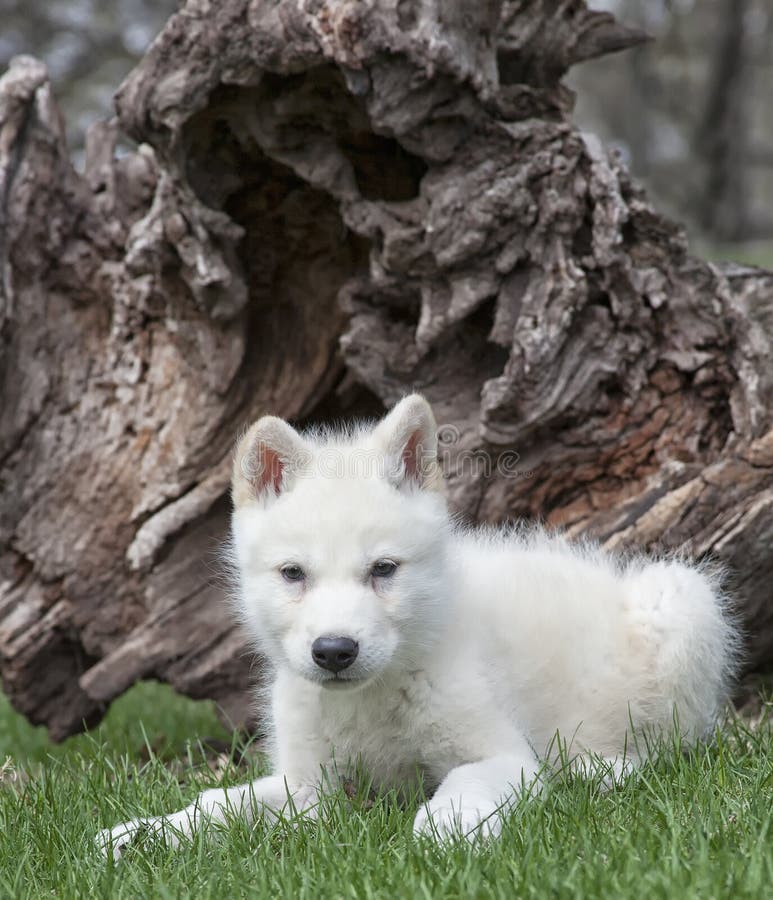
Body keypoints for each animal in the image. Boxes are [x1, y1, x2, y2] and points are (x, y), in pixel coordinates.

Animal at [99, 394, 739, 858]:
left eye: (384, 569)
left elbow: (462, 788)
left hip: (680, 599)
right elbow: (220, 802)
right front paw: (141, 834)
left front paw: (444, 833)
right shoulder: (306, 785)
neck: (370, 702)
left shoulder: (502, 755)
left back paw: (596, 769)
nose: (335, 651)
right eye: (293, 574)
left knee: (678, 744)